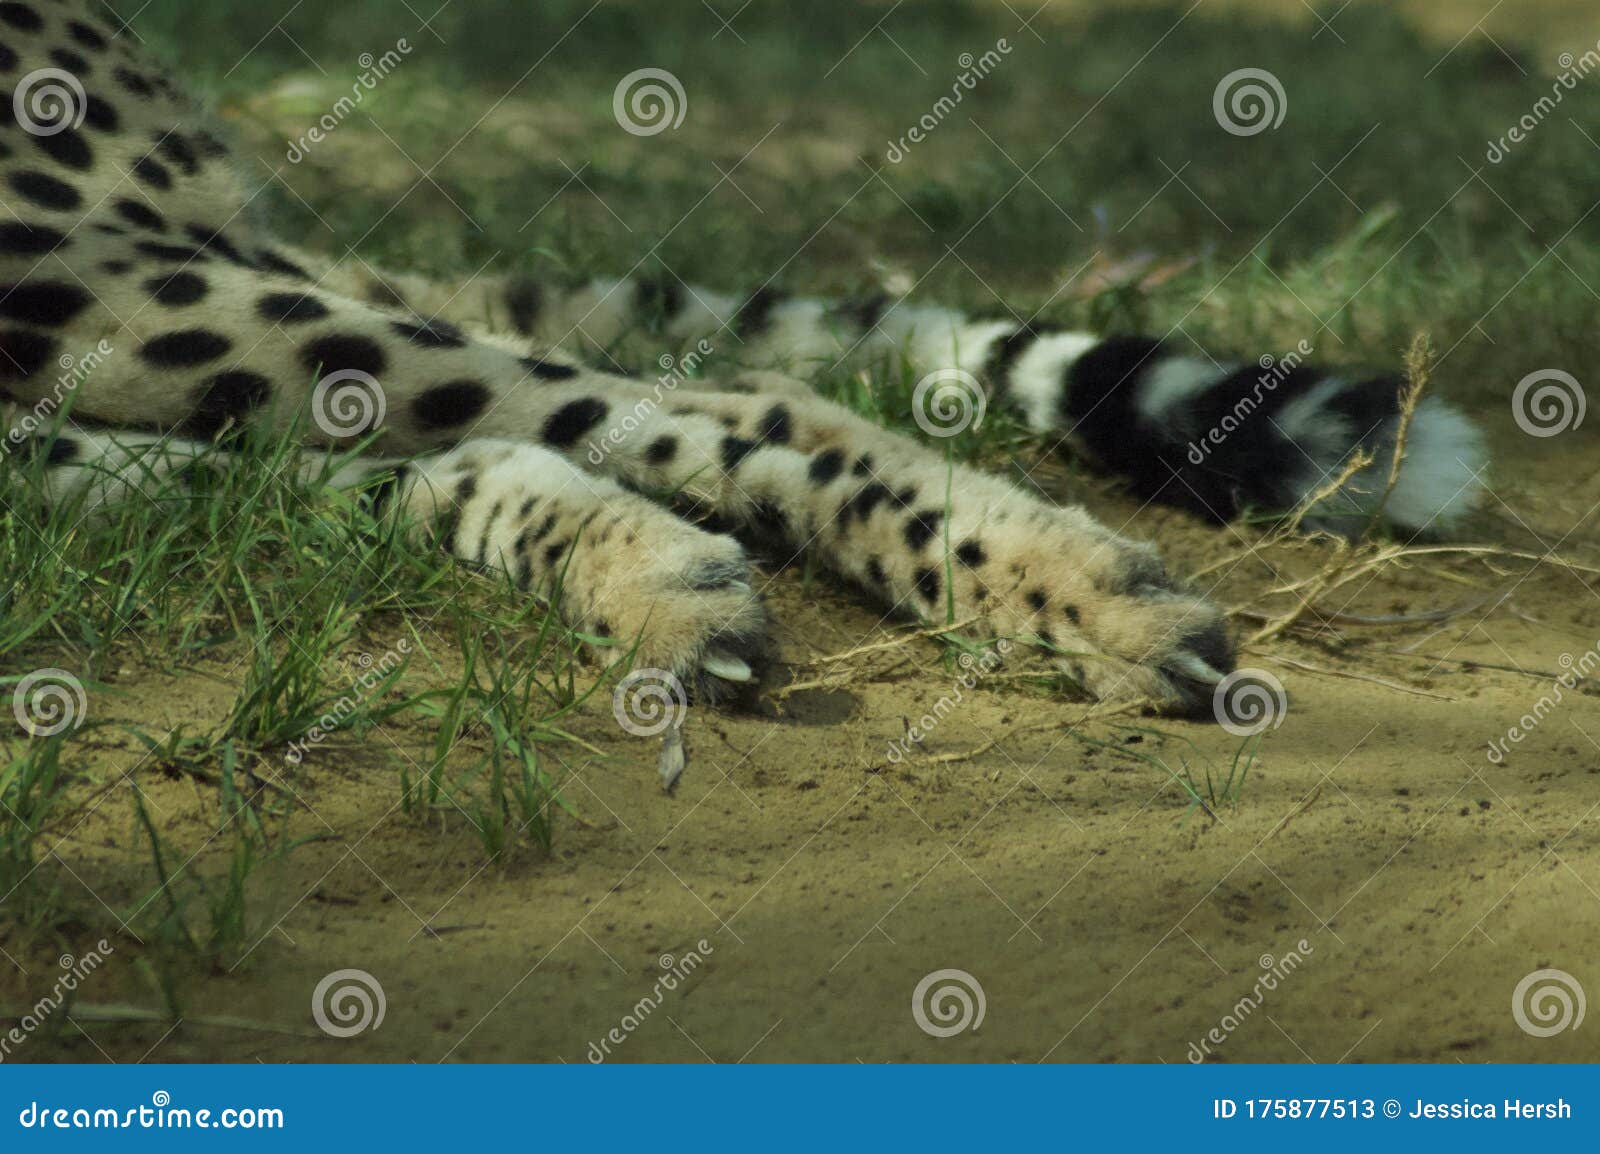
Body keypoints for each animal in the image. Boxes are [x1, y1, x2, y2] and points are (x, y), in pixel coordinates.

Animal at [0, 0, 1489, 731]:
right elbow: (316, 486)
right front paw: (640, 566)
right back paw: (651, 576)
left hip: (77, 283)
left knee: (708, 396)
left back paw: (1071, 596)